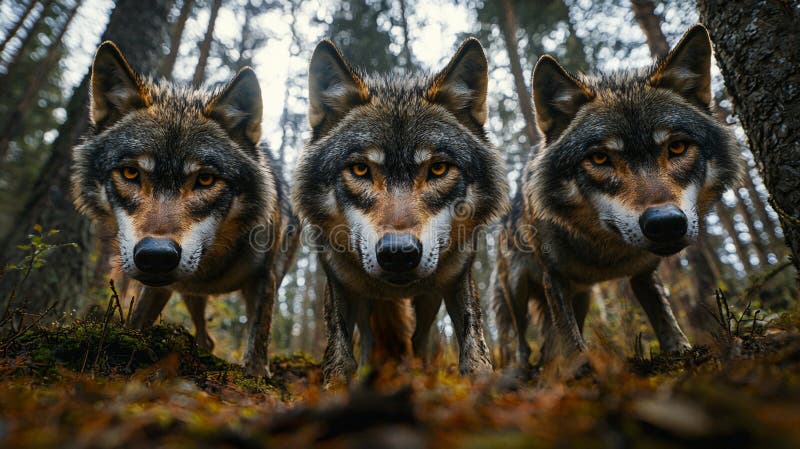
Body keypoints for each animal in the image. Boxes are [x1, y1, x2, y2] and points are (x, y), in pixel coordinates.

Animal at [71, 42, 299, 377]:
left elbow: (258, 337)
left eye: (205, 179)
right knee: (207, 338)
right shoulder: (159, 286)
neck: (213, 267)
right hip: (190, 296)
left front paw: (256, 374)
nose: (156, 256)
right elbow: (137, 322)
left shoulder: (264, 279)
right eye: (130, 173)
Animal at [293, 38, 509, 386]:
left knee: (419, 339)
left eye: (438, 169)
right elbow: (340, 350)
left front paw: (481, 382)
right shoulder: (340, 283)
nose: (398, 253)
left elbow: (472, 339)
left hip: (428, 301)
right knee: (369, 339)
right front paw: (336, 386)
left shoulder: (456, 278)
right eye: (360, 169)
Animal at [490, 24, 741, 370]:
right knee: (519, 339)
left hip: (582, 297)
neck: (608, 255)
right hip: (515, 292)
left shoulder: (643, 275)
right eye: (599, 158)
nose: (665, 223)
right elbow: (568, 335)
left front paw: (681, 352)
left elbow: (664, 315)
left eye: (677, 147)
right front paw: (582, 370)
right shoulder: (553, 278)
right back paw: (522, 370)